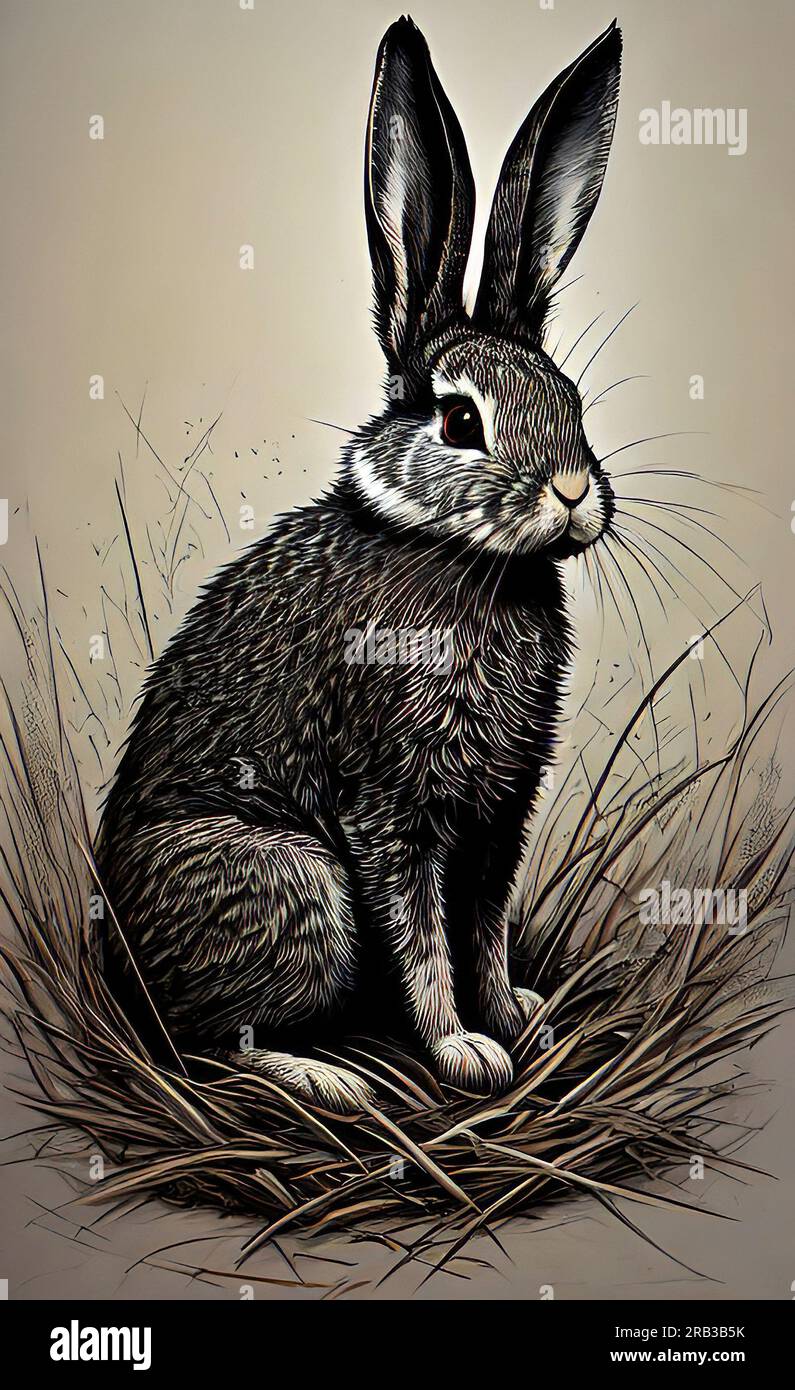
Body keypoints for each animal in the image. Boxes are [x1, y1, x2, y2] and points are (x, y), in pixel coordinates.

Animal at [96, 16, 621, 1112]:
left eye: (571, 401)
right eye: (459, 420)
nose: (571, 493)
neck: (462, 560)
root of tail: (114, 964)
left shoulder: (500, 810)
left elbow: (482, 928)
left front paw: (518, 1017)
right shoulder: (391, 806)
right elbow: (421, 939)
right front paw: (462, 1050)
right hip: (291, 885)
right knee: (201, 1043)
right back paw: (326, 1076)